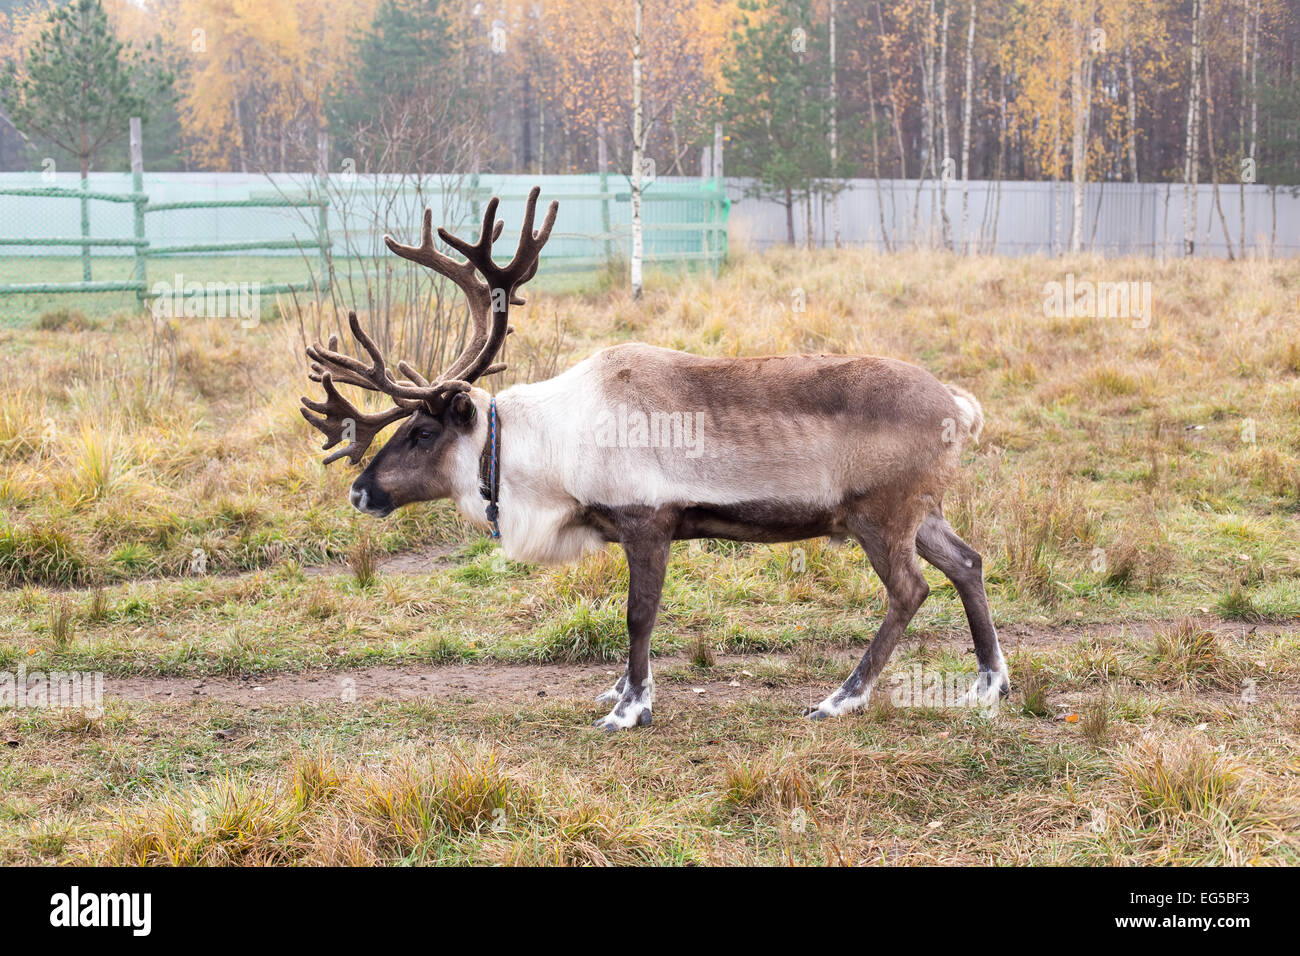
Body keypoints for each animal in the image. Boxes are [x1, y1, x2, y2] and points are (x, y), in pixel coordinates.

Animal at [301, 186, 1009, 732]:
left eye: (422, 430)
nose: (361, 491)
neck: (551, 448)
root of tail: (960, 405)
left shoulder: (648, 522)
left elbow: (638, 616)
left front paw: (629, 708)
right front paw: (618, 690)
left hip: (879, 515)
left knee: (911, 589)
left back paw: (841, 698)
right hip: (922, 511)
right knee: (968, 563)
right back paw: (988, 683)